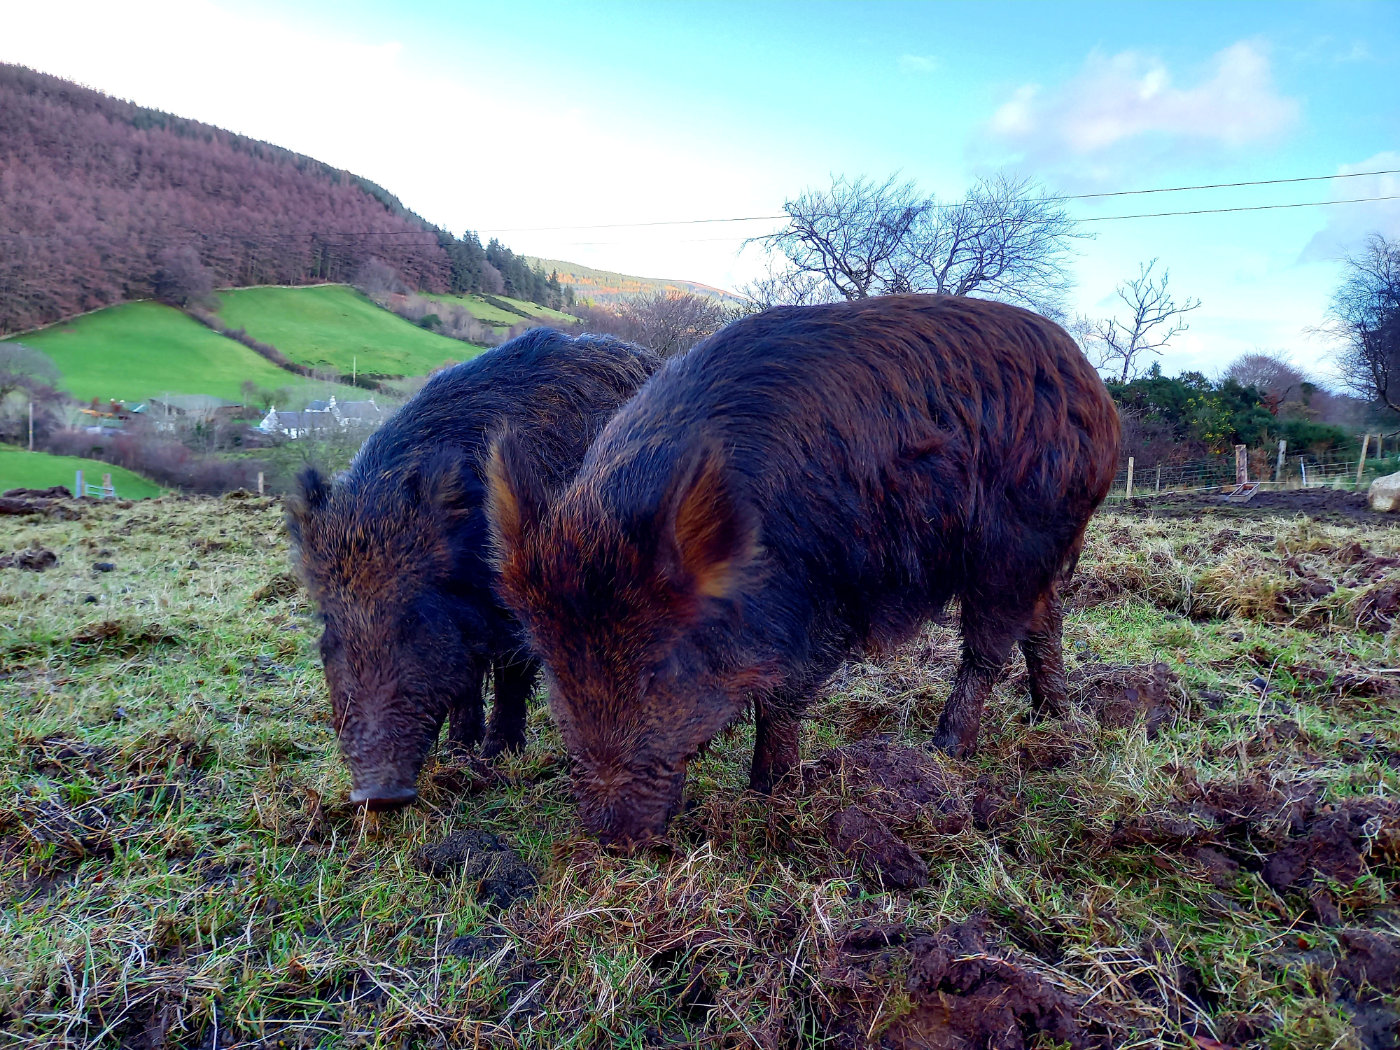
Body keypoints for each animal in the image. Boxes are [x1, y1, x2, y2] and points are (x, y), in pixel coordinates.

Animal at [287, 328, 659, 810]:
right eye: (330, 621)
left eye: (415, 617)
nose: (378, 795)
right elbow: (467, 683)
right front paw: (458, 753)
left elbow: (512, 676)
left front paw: (498, 757)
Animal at [485, 294, 1120, 845]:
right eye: (556, 667)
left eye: (658, 670)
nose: (612, 838)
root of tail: (1093, 384)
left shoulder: (829, 591)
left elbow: (784, 694)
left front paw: (771, 791)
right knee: (1045, 621)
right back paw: (1051, 715)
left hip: (1017, 540)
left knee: (990, 645)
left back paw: (944, 748)